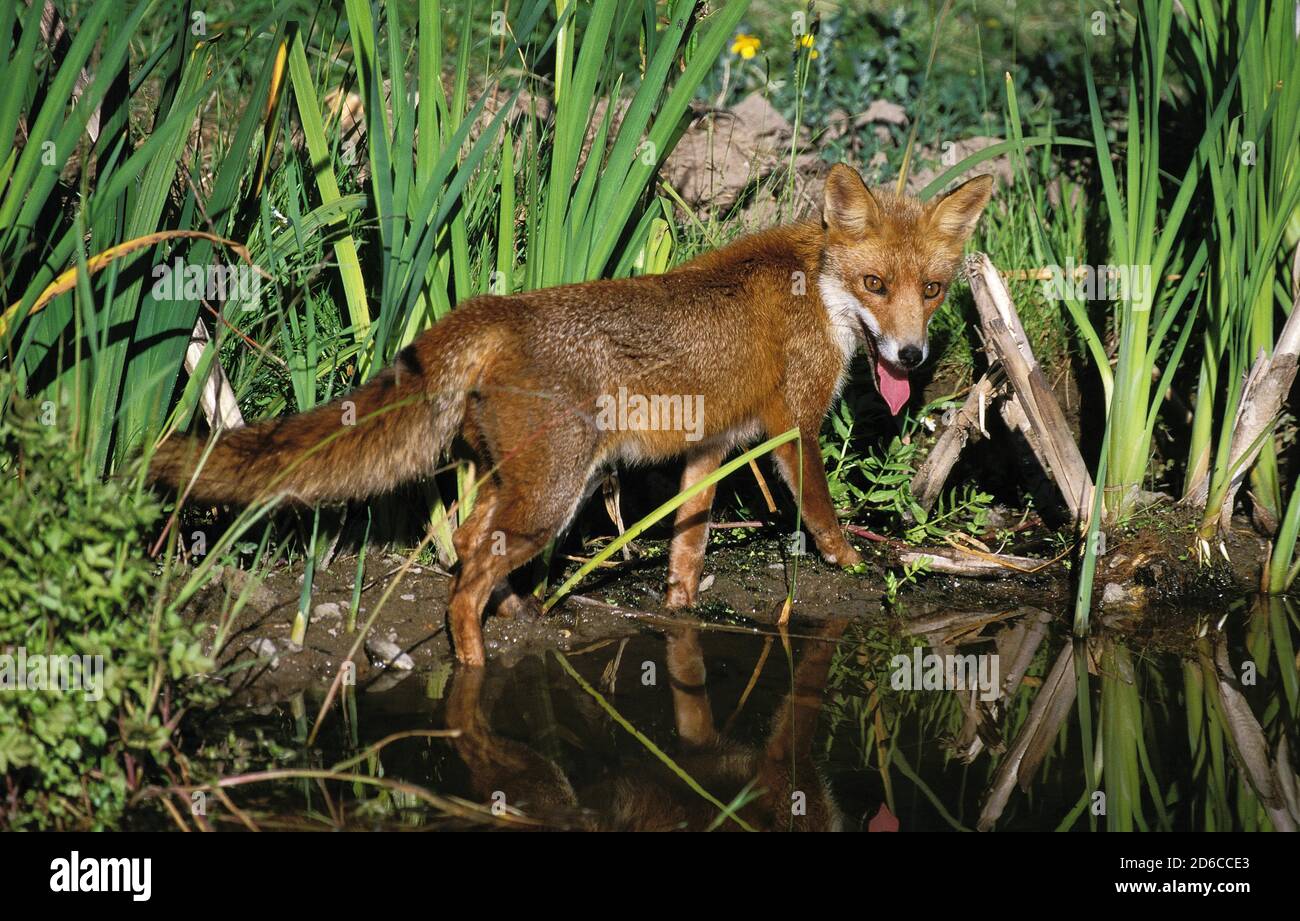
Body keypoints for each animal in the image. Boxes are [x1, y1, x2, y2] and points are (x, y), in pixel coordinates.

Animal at [149, 164, 993, 666]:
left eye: (934, 289)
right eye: (876, 283)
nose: (912, 356)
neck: (815, 286)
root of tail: (492, 309)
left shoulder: (709, 445)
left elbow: (687, 546)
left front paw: (681, 607)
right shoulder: (795, 428)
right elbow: (821, 511)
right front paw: (850, 564)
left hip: (519, 484)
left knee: (466, 544)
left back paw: (522, 612)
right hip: (555, 494)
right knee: (466, 580)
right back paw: (473, 662)